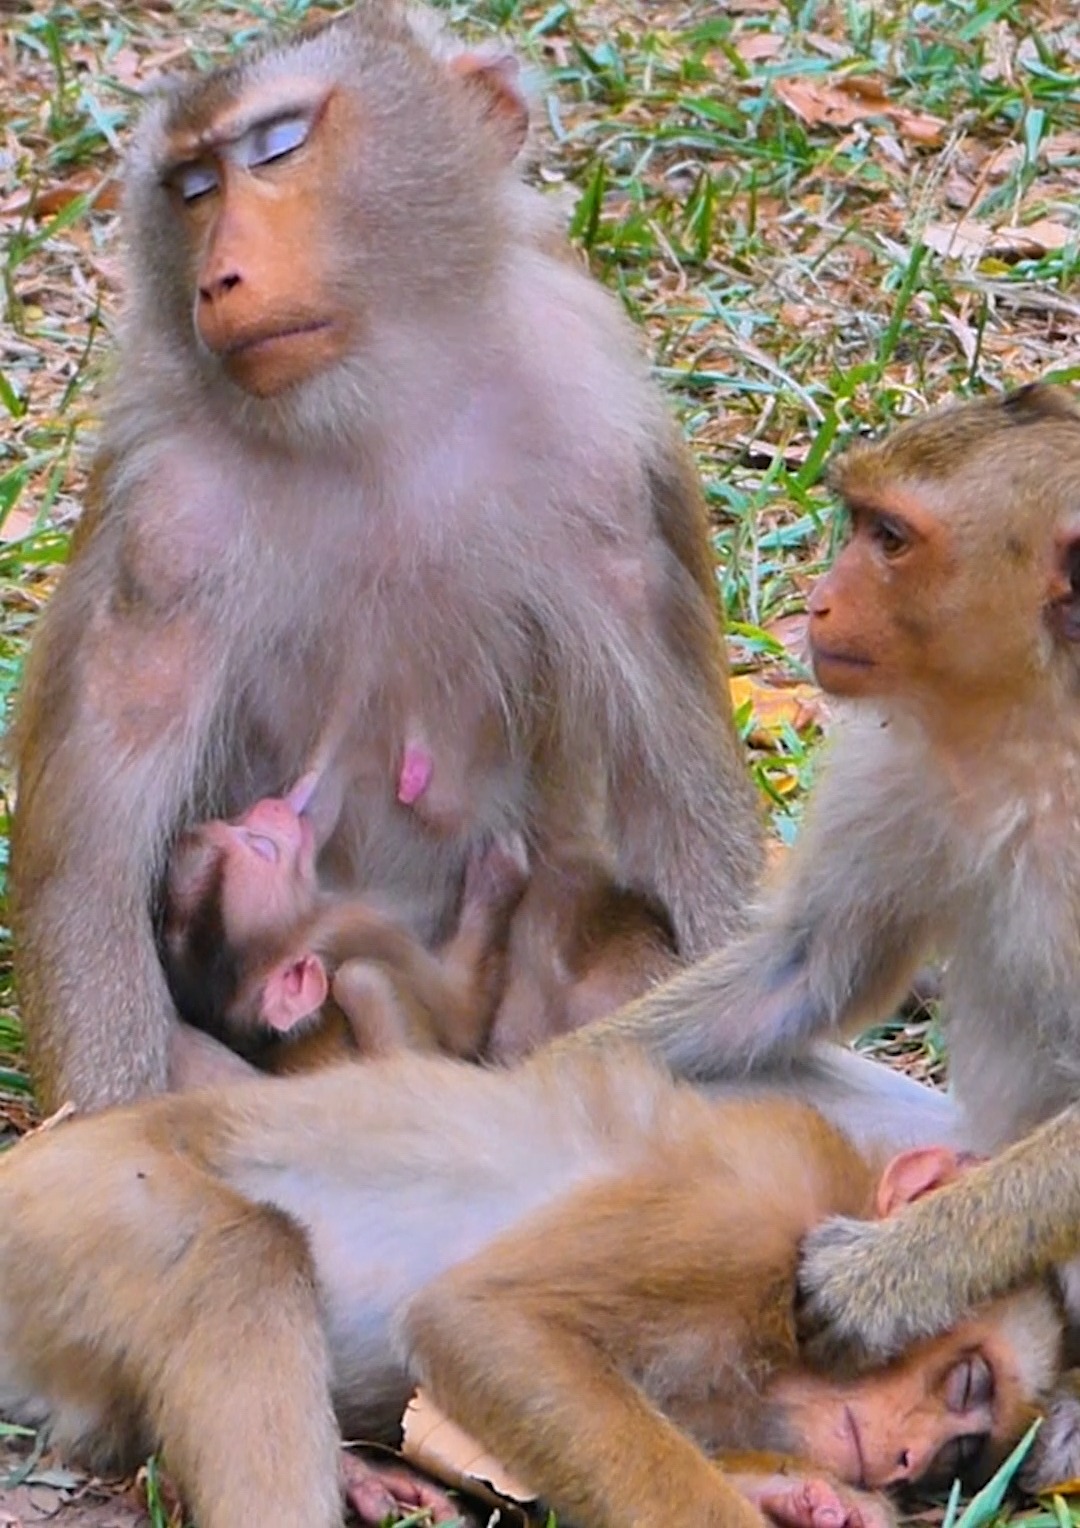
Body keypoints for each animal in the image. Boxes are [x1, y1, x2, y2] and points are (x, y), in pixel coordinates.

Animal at [0, 1050, 1060, 1528]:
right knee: (241, 1256)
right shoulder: (744, 1210)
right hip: (77, 1199)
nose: (907, 1456)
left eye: (956, 1455)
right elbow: (481, 1323)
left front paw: (803, 1495)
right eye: (968, 1382)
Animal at [10, 0, 763, 1114]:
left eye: (277, 147)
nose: (218, 276)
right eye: (193, 189)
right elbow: (91, 869)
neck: (374, 418)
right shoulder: (165, 517)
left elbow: (681, 801)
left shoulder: (602, 442)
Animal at [556, 384, 1080, 1433]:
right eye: (864, 523)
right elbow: (808, 966)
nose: (820, 603)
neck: (1034, 726)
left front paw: (886, 1278)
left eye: (891, 538)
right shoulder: (900, 756)